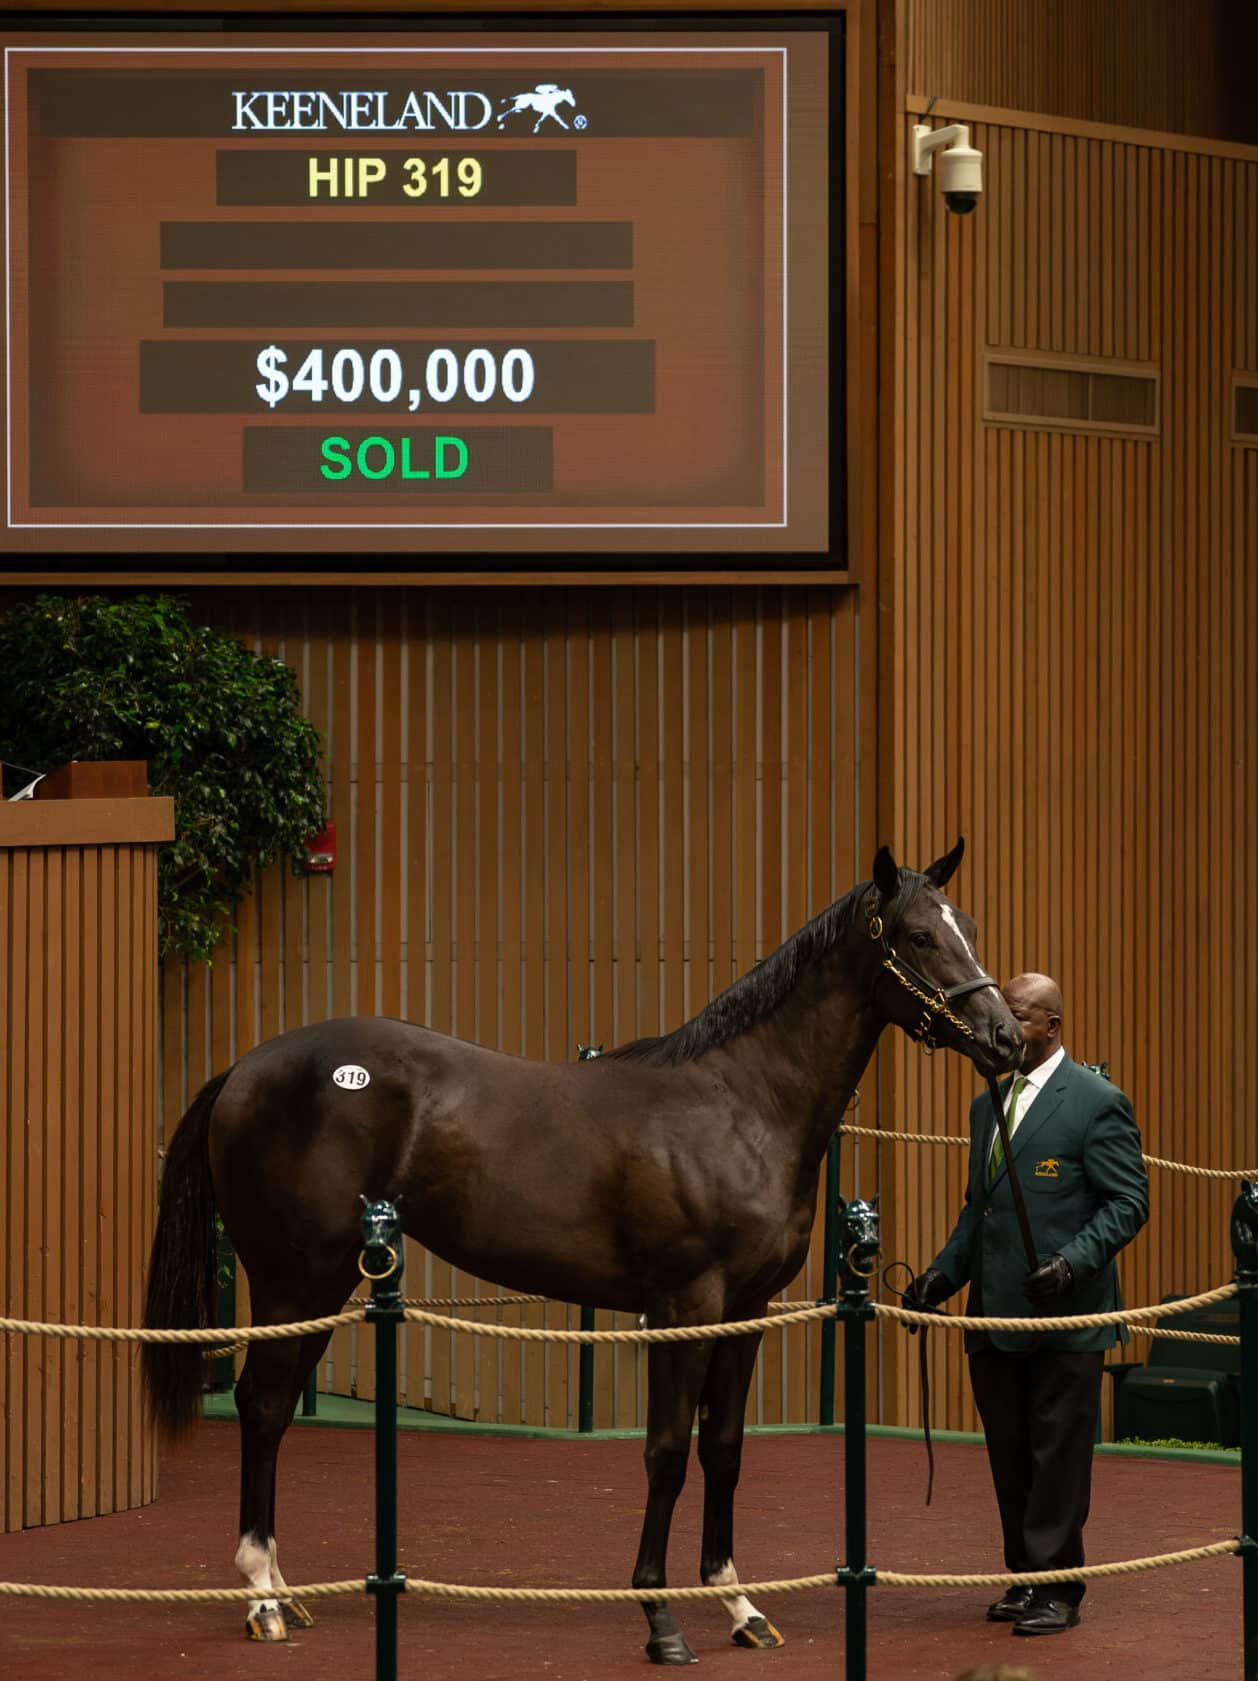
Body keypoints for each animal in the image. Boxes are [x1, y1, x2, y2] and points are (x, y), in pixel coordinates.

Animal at [143, 839, 1022, 1662]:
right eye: (918, 936)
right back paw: (261, 1596)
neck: (740, 1105)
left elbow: (725, 1452)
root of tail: (244, 1068)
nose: (1007, 1037)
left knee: (273, 1410)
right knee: (262, 1407)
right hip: (294, 1279)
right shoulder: (683, 1307)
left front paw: (741, 1605)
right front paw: (661, 1621)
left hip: (324, 1286)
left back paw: (284, 1595)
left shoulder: (747, 1312)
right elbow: (667, 1453)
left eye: (972, 928)